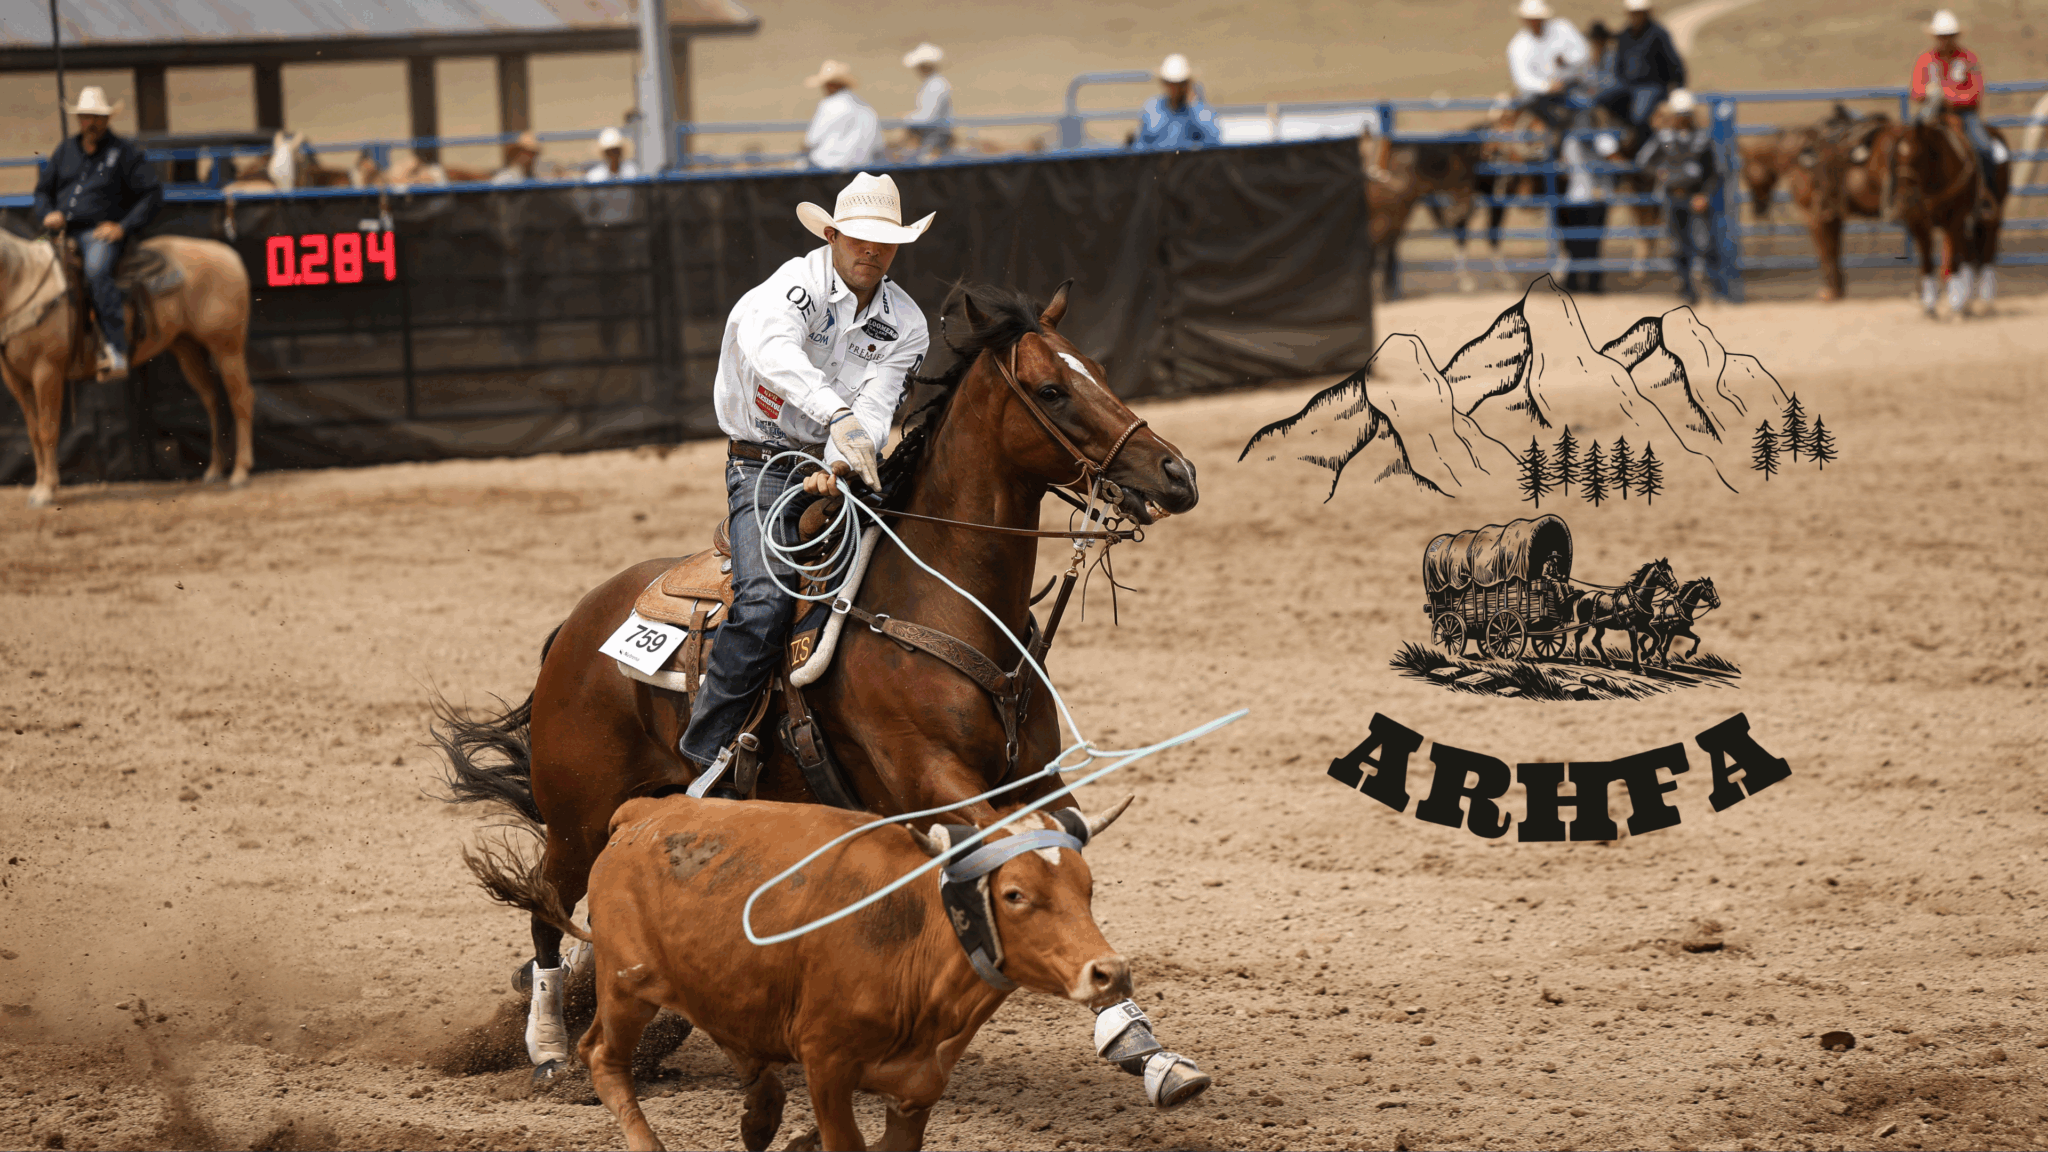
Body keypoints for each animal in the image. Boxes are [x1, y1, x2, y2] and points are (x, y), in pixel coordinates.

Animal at [0, 227, 255, 508]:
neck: (24, 287)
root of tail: (229, 255)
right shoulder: (15, 378)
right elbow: (33, 432)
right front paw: (38, 487)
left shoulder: (46, 370)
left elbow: (48, 429)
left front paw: (48, 490)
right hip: (187, 348)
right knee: (212, 399)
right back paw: (214, 470)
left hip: (227, 348)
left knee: (241, 399)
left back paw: (241, 472)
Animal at [436, 282, 1204, 1095]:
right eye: (1053, 390)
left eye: (1099, 371)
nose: (1177, 474)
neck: (938, 595)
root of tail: (575, 628)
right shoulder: (933, 774)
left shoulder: (1034, 774)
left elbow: (1058, 852)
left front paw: (1147, 1048)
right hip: (576, 815)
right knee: (545, 906)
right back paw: (549, 1046)